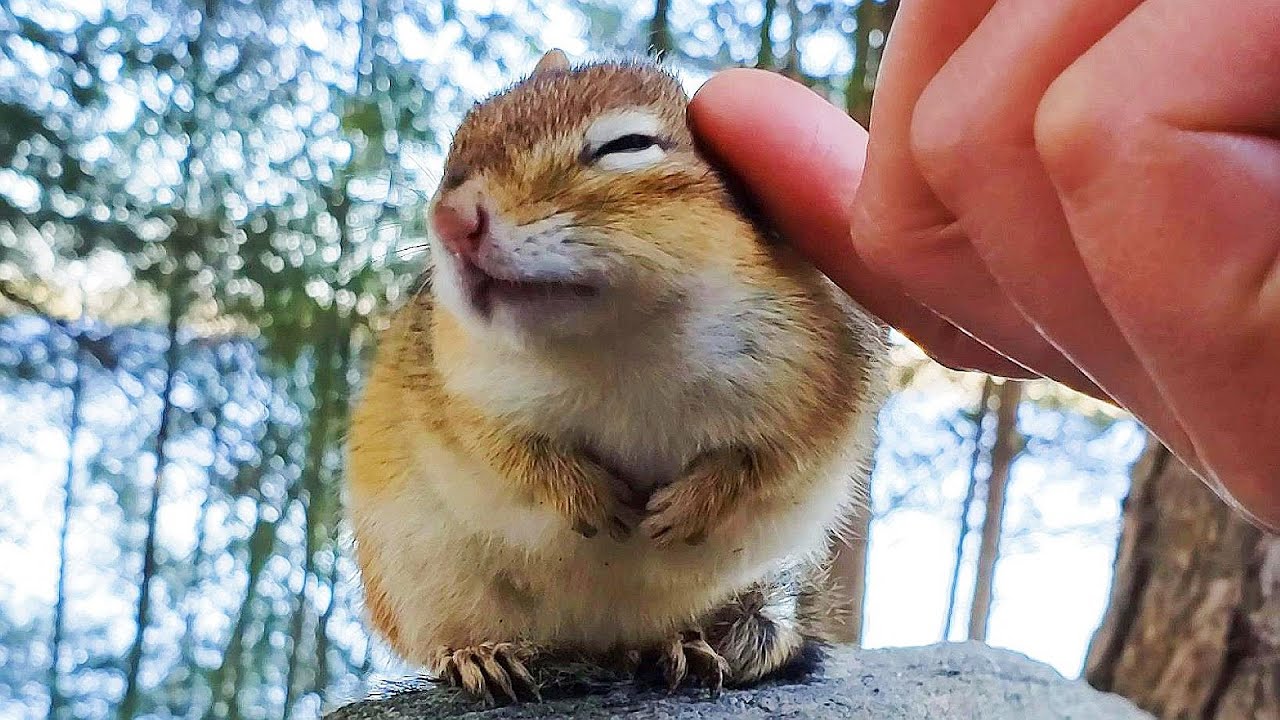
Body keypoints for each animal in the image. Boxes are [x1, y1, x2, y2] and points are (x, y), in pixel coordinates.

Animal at [346, 49, 889, 705]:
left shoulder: (826, 392)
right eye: (459, 140)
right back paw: (480, 654)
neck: (621, 344)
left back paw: (680, 647)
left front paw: (689, 505)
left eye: (628, 145)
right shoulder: (462, 390)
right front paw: (587, 494)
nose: (451, 221)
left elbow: (775, 459)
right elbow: (502, 447)